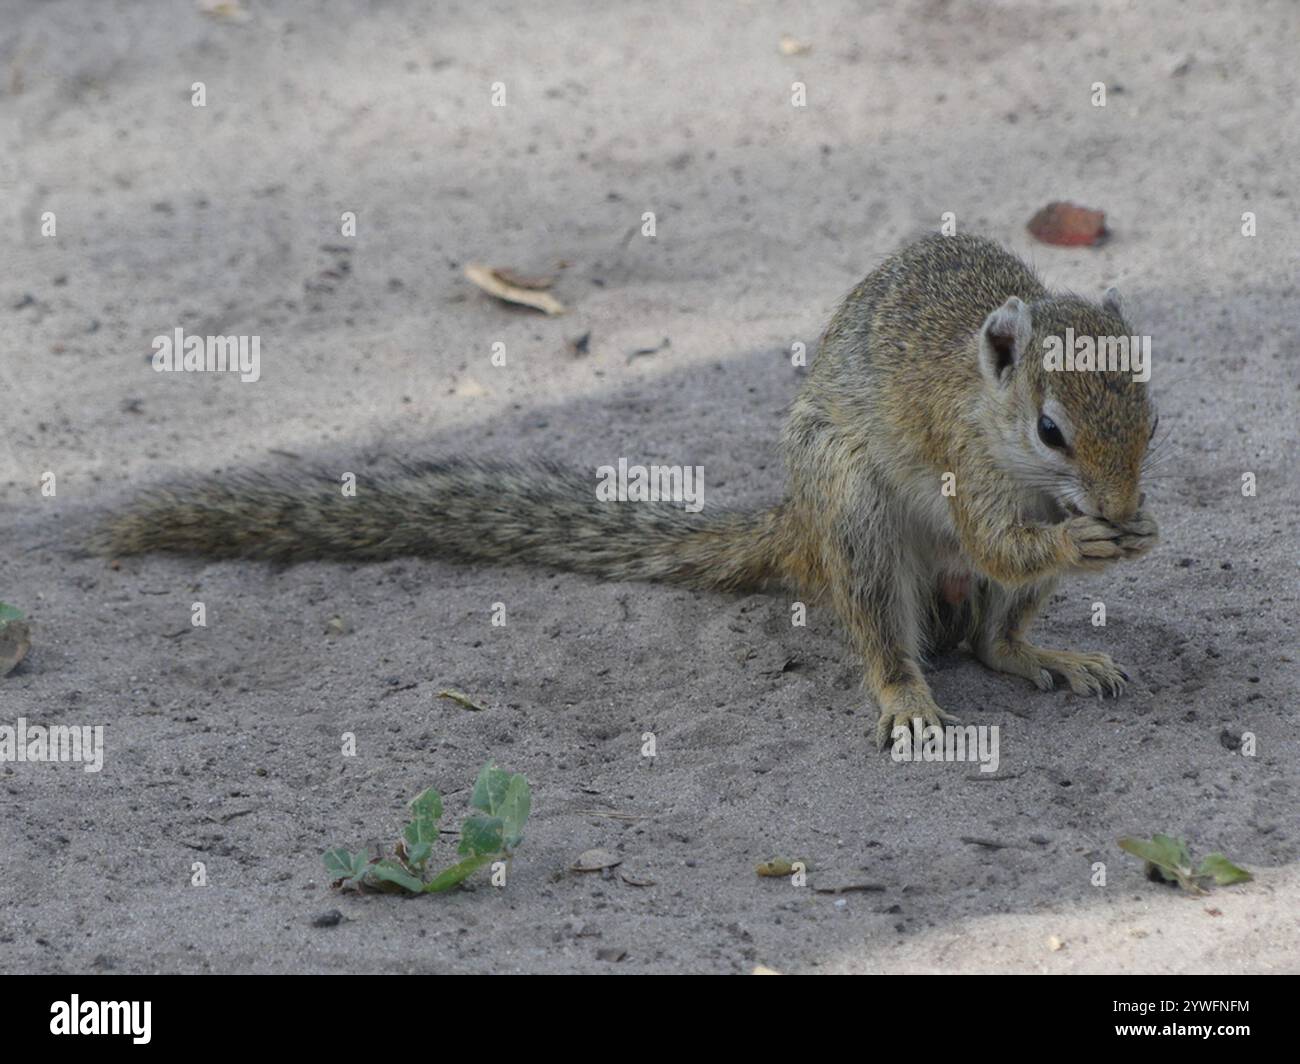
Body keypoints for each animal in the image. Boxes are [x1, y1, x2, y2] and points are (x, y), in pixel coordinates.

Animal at [99, 233, 1160, 748]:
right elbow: (994, 540)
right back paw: (905, 695)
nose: (1117, 510)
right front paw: (1076, 541)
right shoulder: (961, 457)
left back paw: (1045, 652)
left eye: (1152, 413)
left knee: (989, 638)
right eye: (1052, 430)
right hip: (851, 511)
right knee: (885, 629)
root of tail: (796, 528)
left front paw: (1137, 531)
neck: (996, 416)